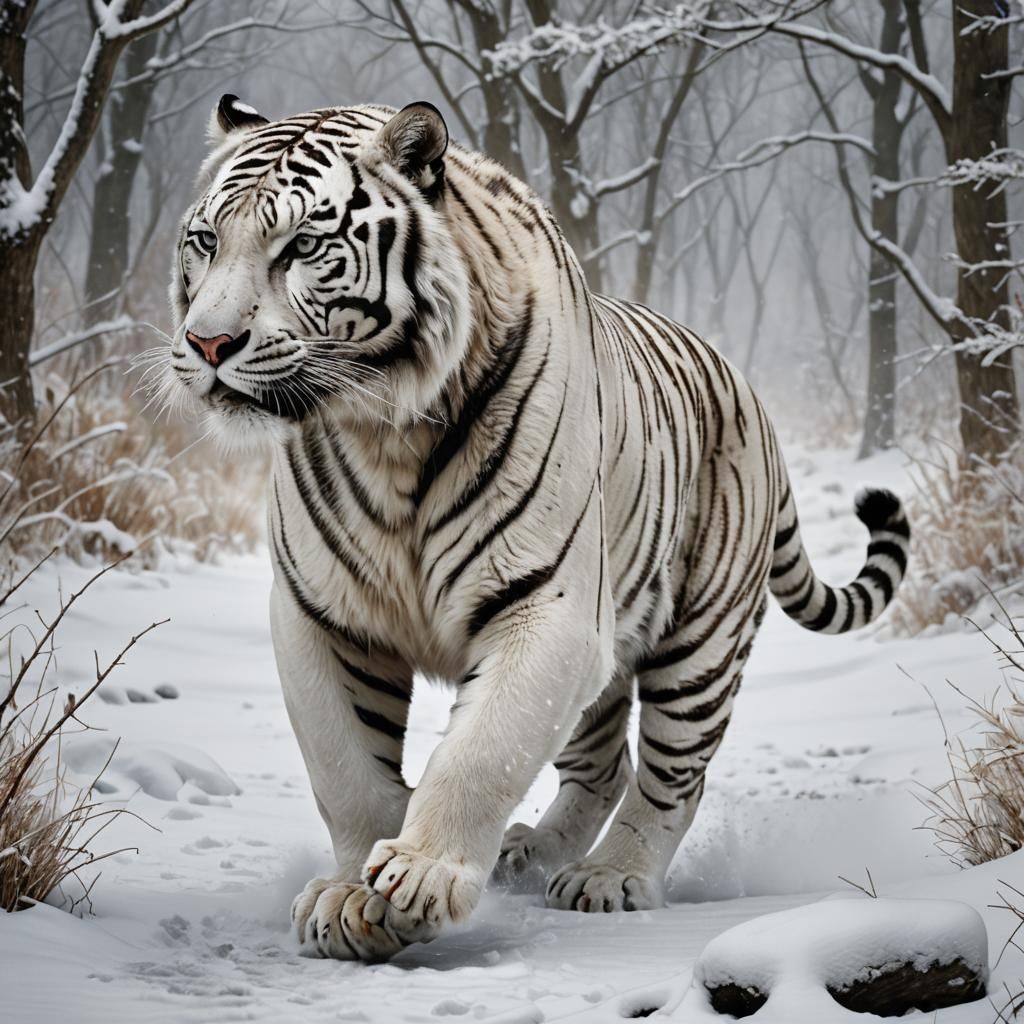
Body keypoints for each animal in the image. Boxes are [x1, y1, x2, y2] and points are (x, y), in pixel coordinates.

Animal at [165, 94, 910, 961]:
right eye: (207, 241)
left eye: (303, 246)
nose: (208, 343)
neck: (382, 429)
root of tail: (746, 389)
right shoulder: (323, 616)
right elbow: (345, 767)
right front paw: (352, 895)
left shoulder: (546, 609)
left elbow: (483, 749)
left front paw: (419, 878)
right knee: (602, 764)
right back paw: (532, 852)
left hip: (700, 642)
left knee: (672, 776)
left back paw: (610, 877)